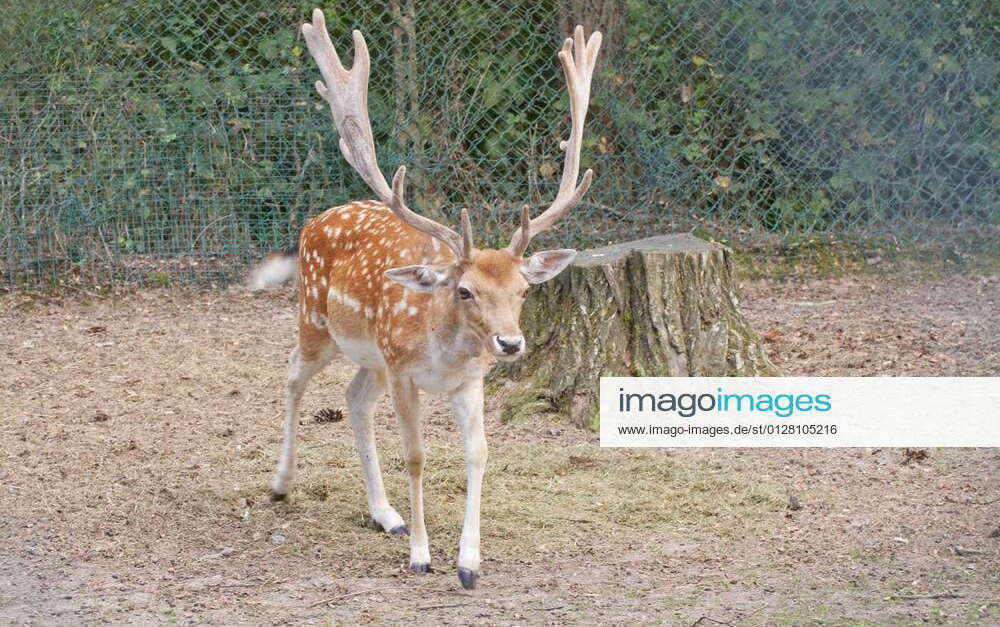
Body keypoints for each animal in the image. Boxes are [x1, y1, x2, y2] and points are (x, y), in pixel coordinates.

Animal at [250, 9, 600, 590]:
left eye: (523, 289)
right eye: (465, 290)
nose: (510, 343)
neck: (444, 356)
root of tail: (313, 220)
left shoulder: (468, 383)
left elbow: (478, 454)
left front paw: (469, 562)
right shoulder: (404, 372)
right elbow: (415, 456)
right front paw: (420, 554)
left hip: (371, 357)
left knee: (353, 398)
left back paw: (384, 514)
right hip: (317, 320)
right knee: (293, 376)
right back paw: (282, 483)